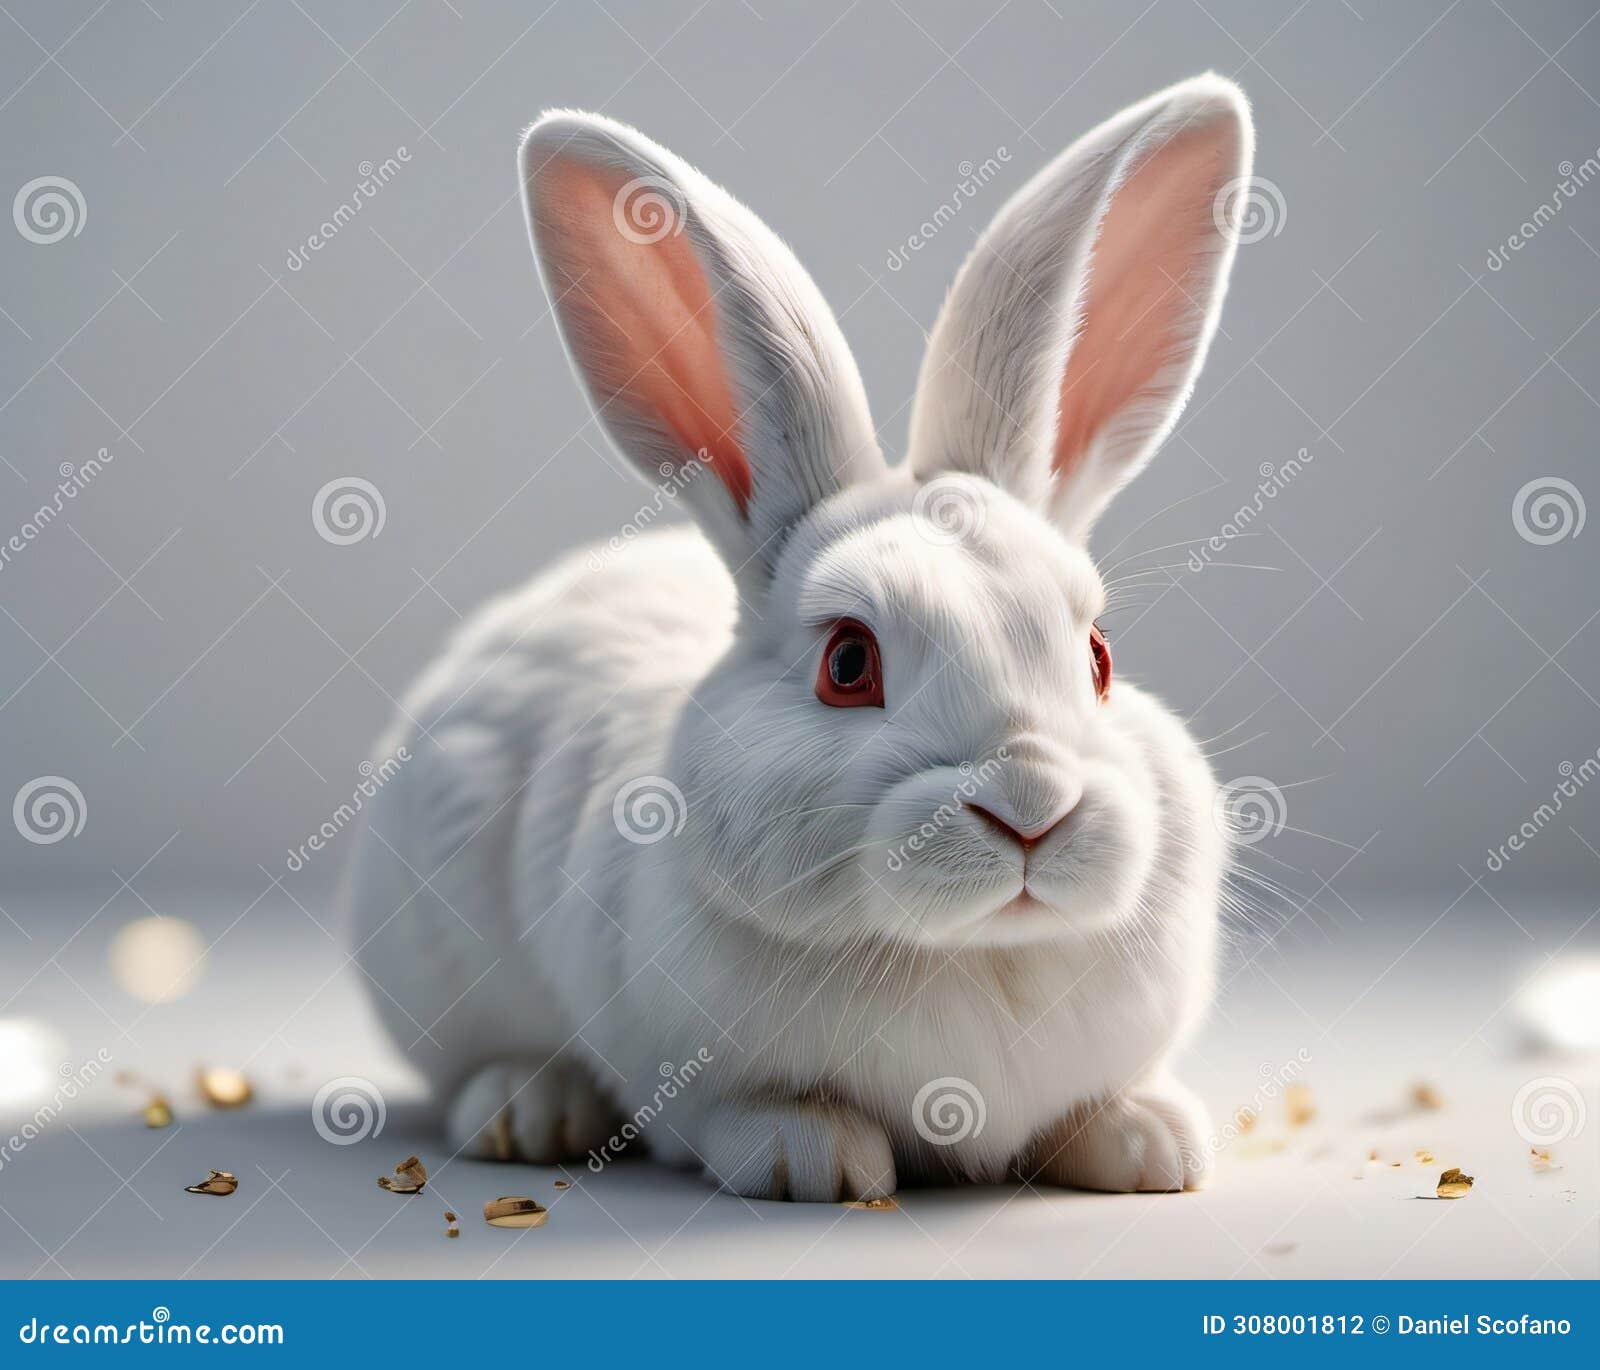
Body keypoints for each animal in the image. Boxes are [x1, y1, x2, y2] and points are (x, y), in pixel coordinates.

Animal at [350, 73, 1253, 1201]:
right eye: (848, 663)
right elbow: (734, 1112)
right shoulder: (685, 1074)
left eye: (1097, 660)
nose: (1031, 805)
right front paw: (811, 1157)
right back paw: (529, 1108)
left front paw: (1152, 1143)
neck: (971, 955)